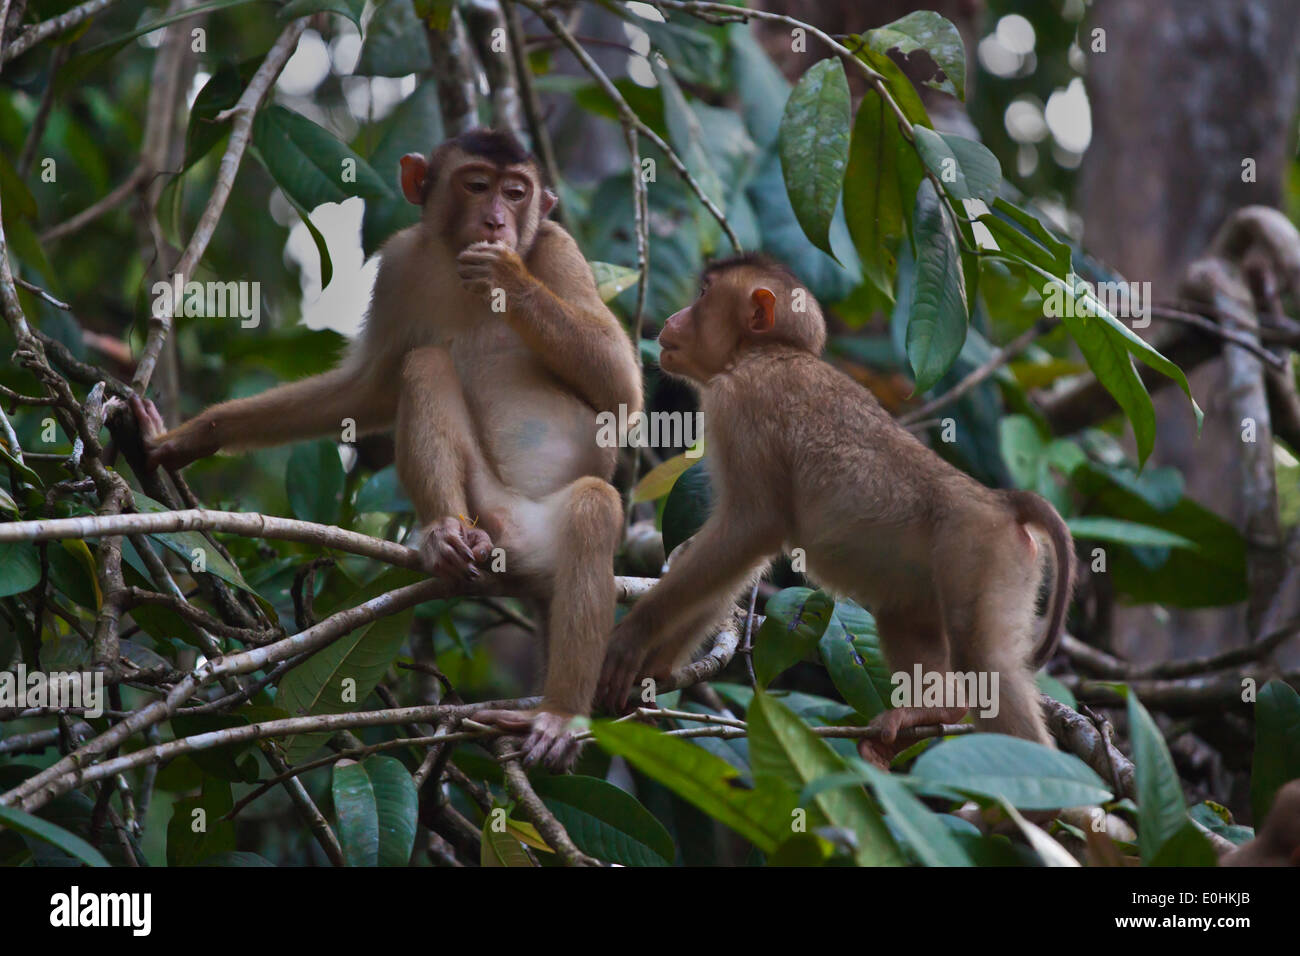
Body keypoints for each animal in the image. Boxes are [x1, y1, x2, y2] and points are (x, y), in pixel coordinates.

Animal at [131, 129, 643, 770]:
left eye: (517, 192)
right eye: (478, 184)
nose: (497, 221)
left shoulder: (557, 247)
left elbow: (621, 391)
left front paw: (506, 275)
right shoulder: (400, 263)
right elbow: (368, 387)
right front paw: (193, 436)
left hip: (547, 537)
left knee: (594, 507)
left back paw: (557, 714)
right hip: (489, 505)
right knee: (422, 365)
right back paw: (448, 536)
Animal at [596, 254, 1075, 763]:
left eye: (704, 294)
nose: (672, 319)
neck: (764, 353)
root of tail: (1001, 502)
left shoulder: (740, 401)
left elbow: (752, 528)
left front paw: (631, 639)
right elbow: (741, 561)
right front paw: (654, 670)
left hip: (980, 552)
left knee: (983, 660)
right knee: (905, 614)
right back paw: (934, 712)